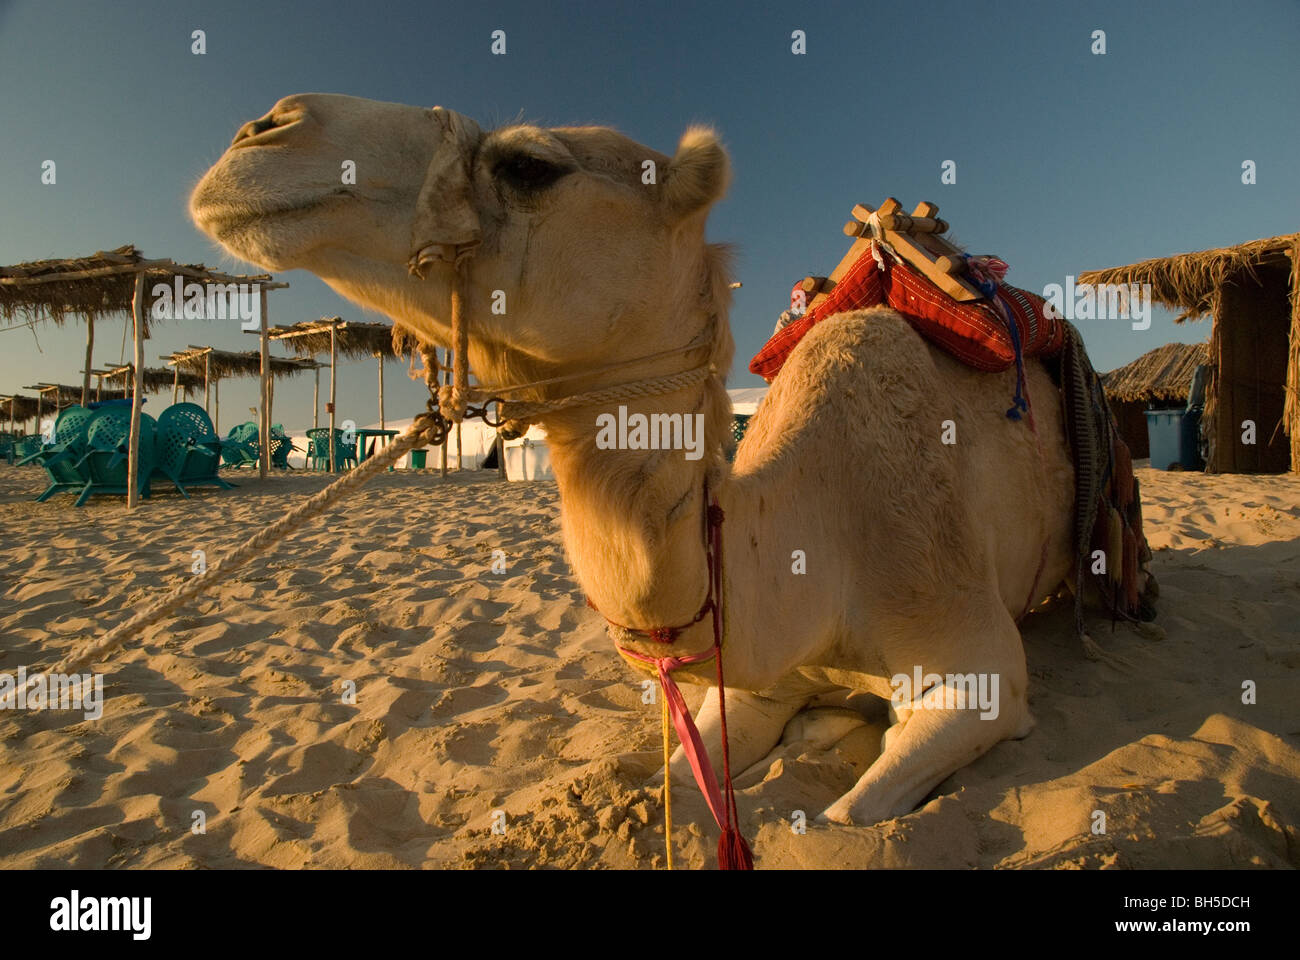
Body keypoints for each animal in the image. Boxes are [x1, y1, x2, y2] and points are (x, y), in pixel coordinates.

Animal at [191, 94, 1086, 827]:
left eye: (529, 165)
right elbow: (693, 777)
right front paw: (815, 728)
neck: (823, 544)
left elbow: (849, 814)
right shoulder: (755, 674)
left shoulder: (980, 665)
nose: (262, 129)